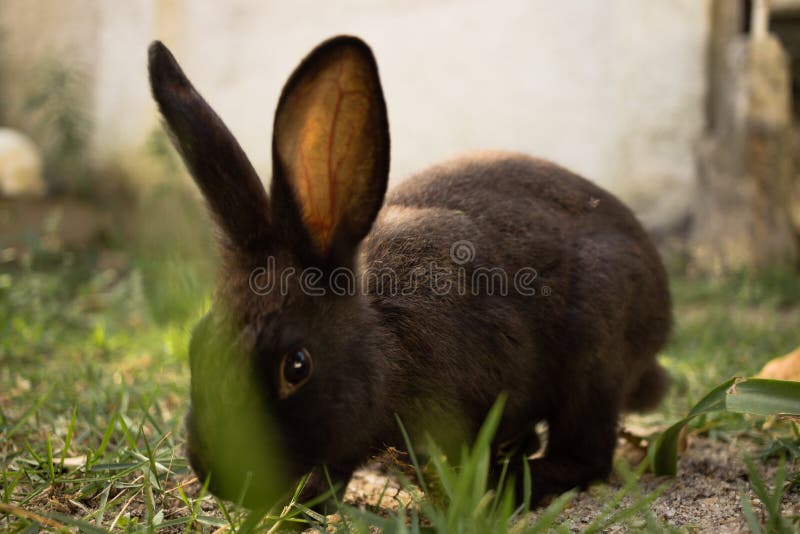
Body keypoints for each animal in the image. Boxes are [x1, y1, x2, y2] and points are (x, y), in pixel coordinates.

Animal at [147, 35, 672, 509]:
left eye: (296, 366)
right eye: (198, 345)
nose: (216, 476)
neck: (386, 341)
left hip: (594, 356)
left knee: (588, 452)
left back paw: (522, 483)